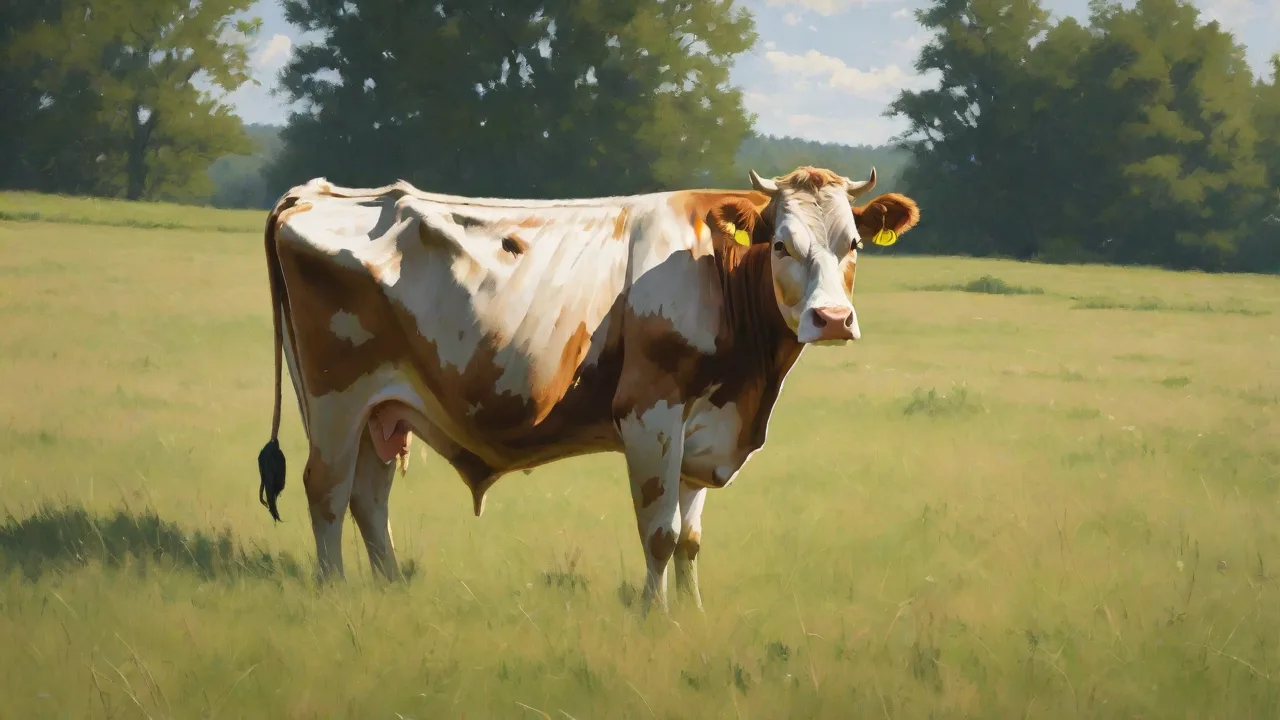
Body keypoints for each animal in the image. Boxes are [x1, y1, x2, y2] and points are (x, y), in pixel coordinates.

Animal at [255, 166, 919, 614]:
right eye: (780, 243)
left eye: (853, 244)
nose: (831, 319)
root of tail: (315, 193)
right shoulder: (651, 412)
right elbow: (660, 531)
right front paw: (656, 616)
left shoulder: (705, 427)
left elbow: (691, 539)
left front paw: (694, 613)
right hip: (336, 398)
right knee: (327, 491)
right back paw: (333, 591)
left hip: (382, 407)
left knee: (369, 496)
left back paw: (391, 588)